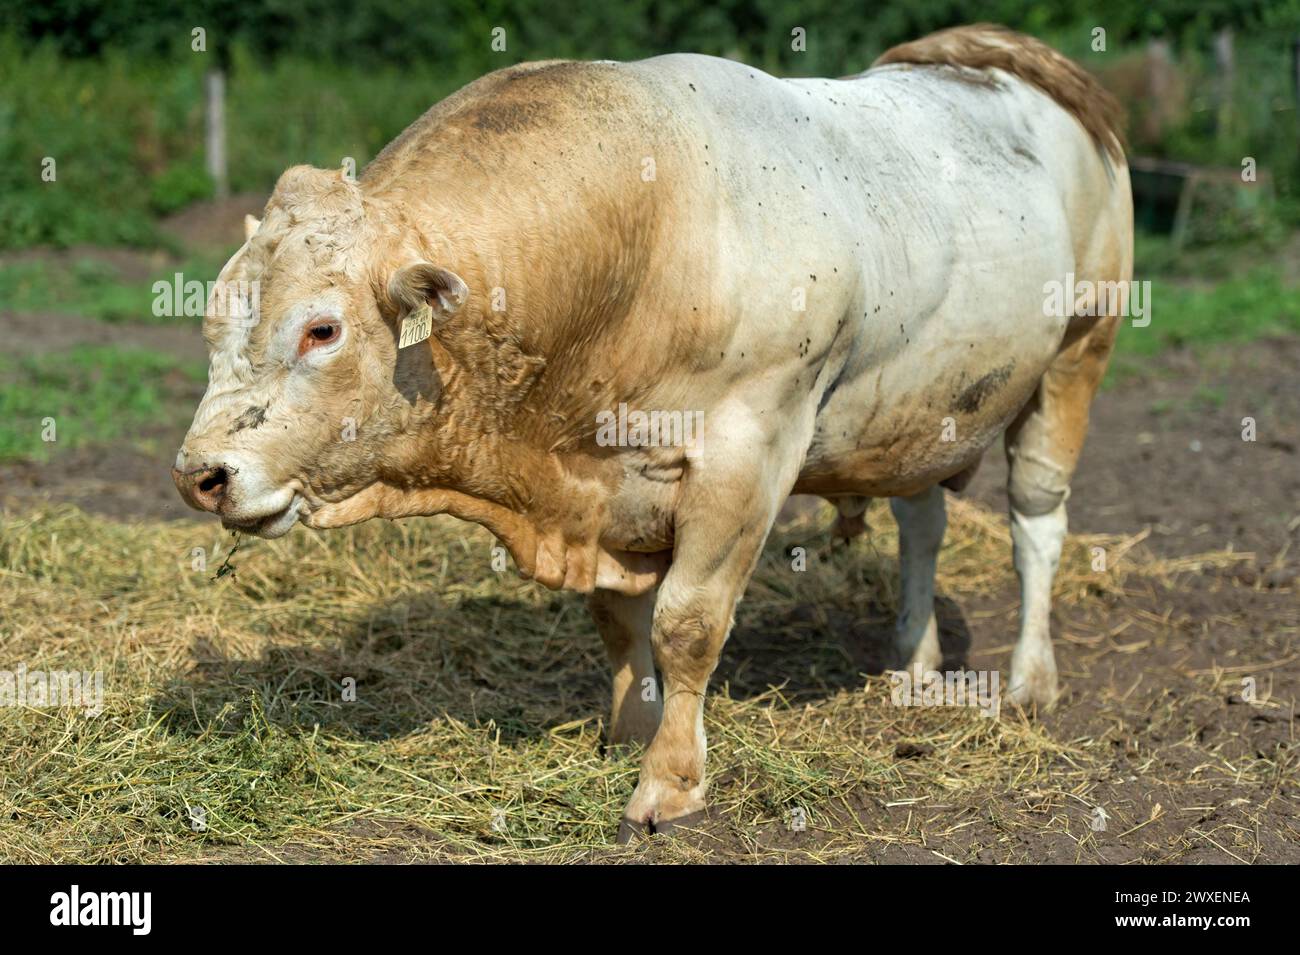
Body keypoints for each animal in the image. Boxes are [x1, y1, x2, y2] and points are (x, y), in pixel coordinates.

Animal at [174, 24, 1132, 839]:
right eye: (212, 322)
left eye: (321, 329)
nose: (201, 474)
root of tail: (996, 52)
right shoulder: (610, 483)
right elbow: (618, 617)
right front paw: (627, 728)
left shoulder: (747, 450)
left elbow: (686, 622)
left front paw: (668, 780)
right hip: (924, 410)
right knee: (922, 521)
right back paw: (914, 657)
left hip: (1079, 350)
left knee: (1037, 522)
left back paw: (1030, 681)